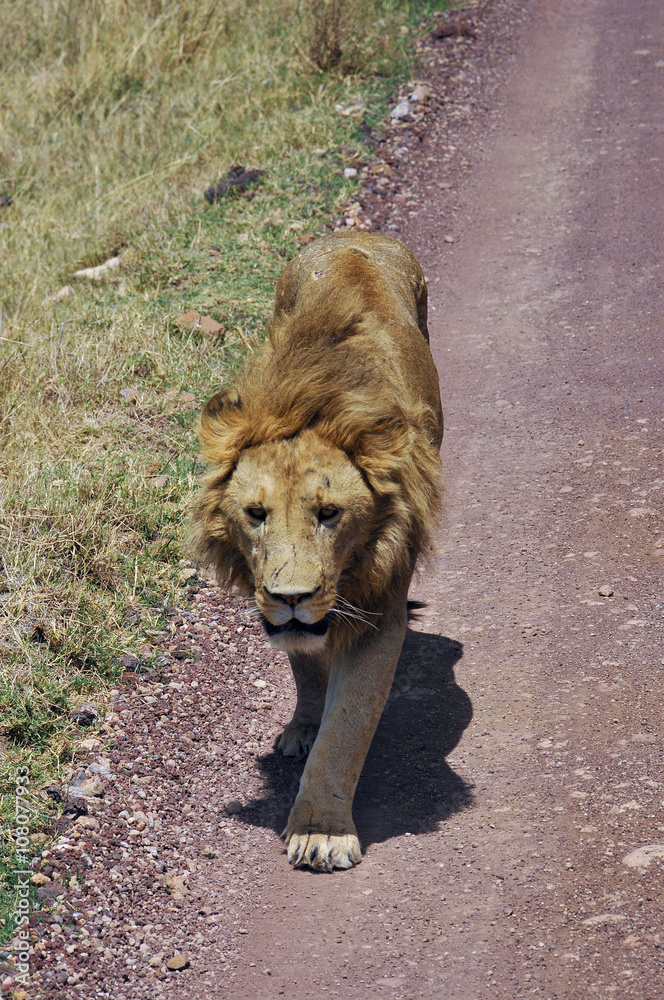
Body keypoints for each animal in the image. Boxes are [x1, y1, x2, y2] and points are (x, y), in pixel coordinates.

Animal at [189, 231, 443, 871]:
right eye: (255, 514)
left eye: (329, 513)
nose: (292, 596)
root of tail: (356, 237)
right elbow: (306, 666)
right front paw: (308, 725)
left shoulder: (379, 608)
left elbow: (347, 728)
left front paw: (321, 831)